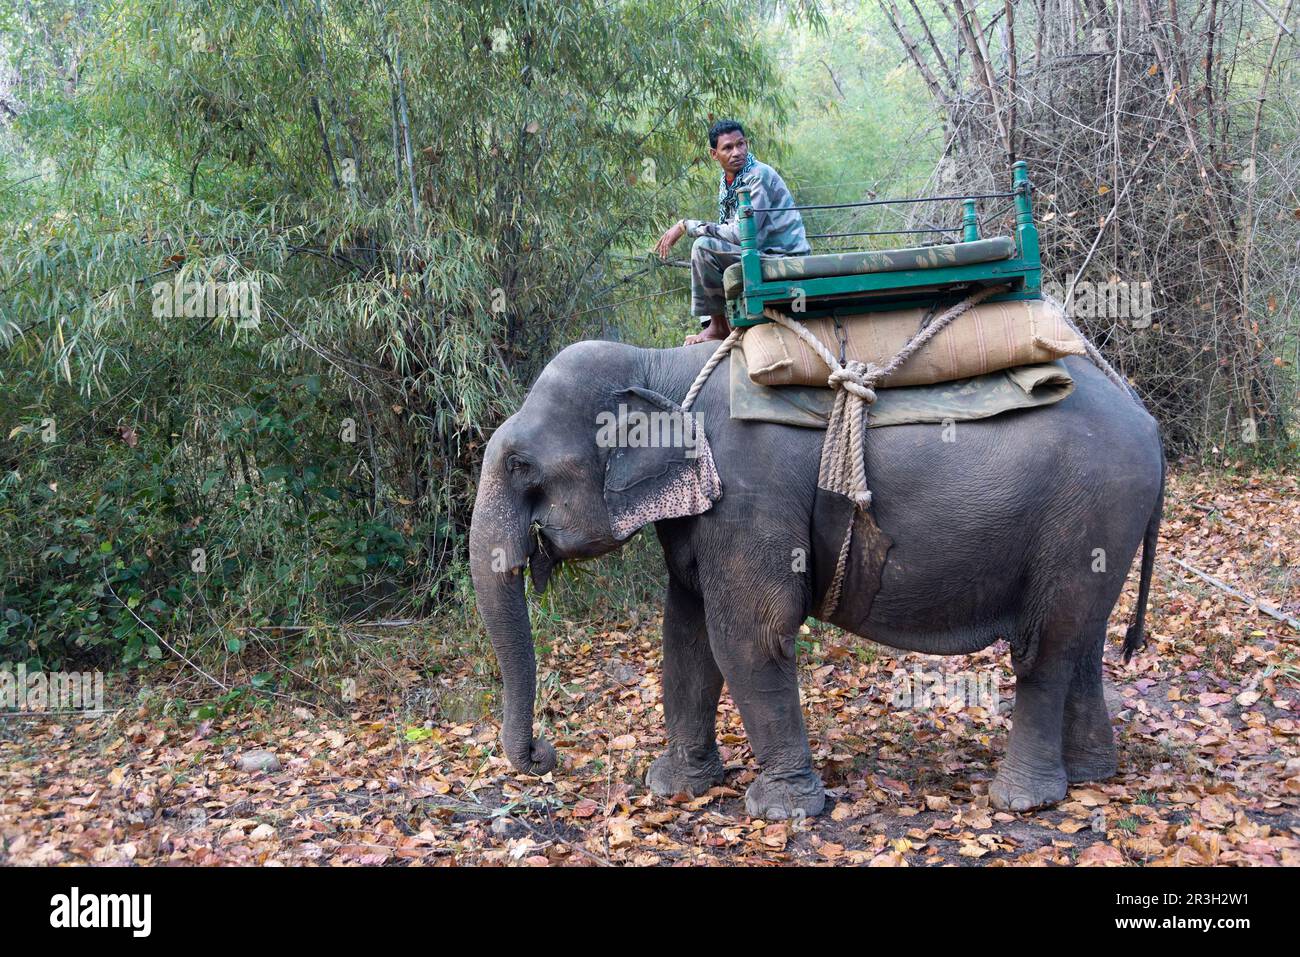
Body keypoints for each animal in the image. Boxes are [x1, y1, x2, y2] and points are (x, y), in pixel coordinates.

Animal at [468, 337, 1164, 819]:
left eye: (522, 465)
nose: (543, 756)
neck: (663, 365)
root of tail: (1145, 417)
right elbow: (686, 635)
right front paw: (676, 788)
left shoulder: (751, 497)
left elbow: (747, 637)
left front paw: (779, 812)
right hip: (1099, 528)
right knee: (1081, 640)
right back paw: (1092, 776)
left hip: (1088, 508)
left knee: (1044, 648)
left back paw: (1021, 801)